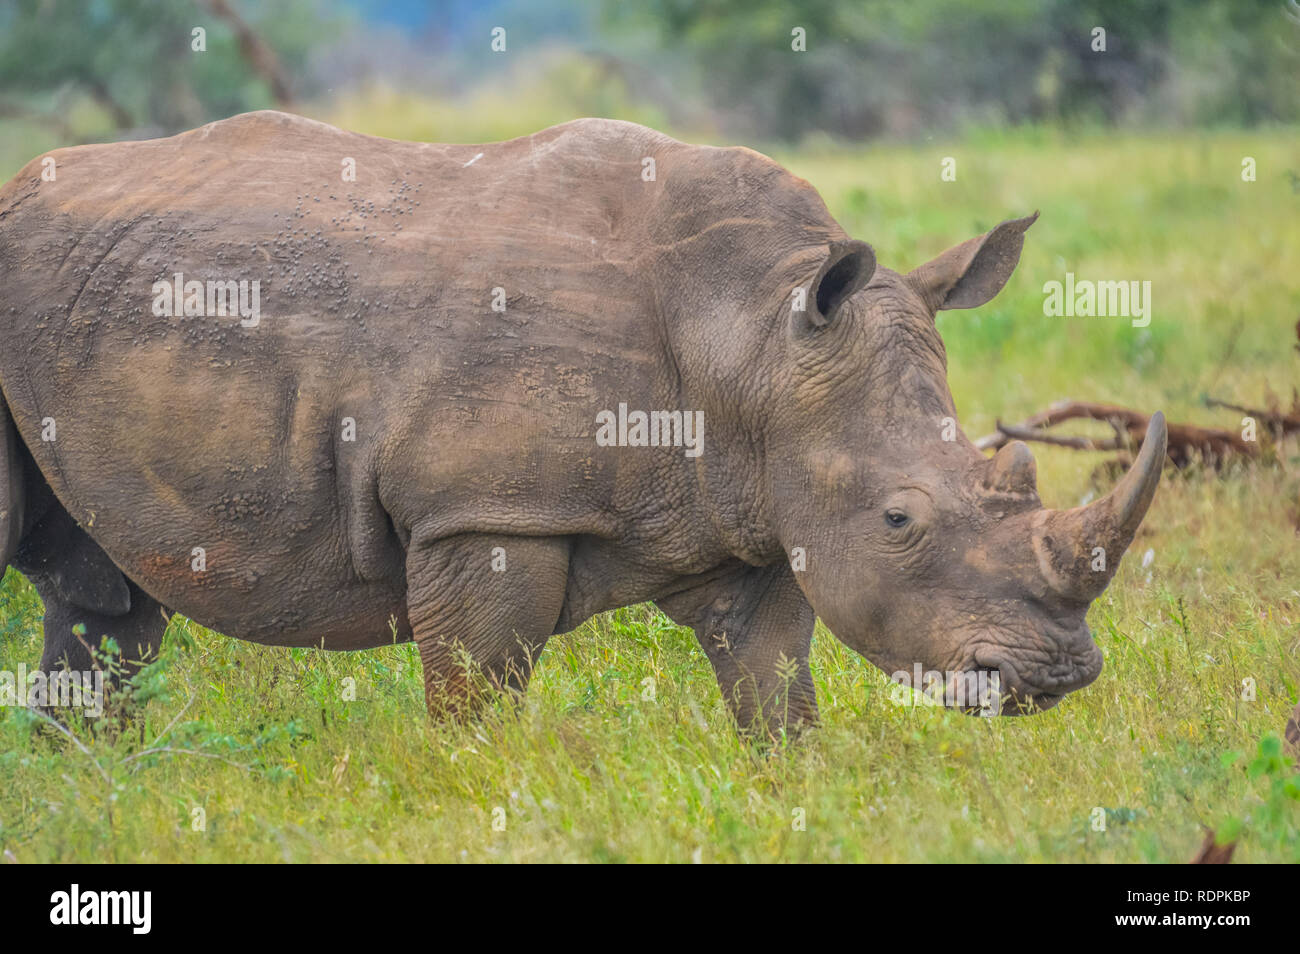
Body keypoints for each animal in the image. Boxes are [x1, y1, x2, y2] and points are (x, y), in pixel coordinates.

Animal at [0, 111, 1166, 735]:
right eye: (898, 521)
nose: (1056, 675)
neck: (752, 333)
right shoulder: (483, 509)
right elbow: (476, 700)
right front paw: (473, 802)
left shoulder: (756, 506)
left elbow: (775, 695)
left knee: (101, 603)